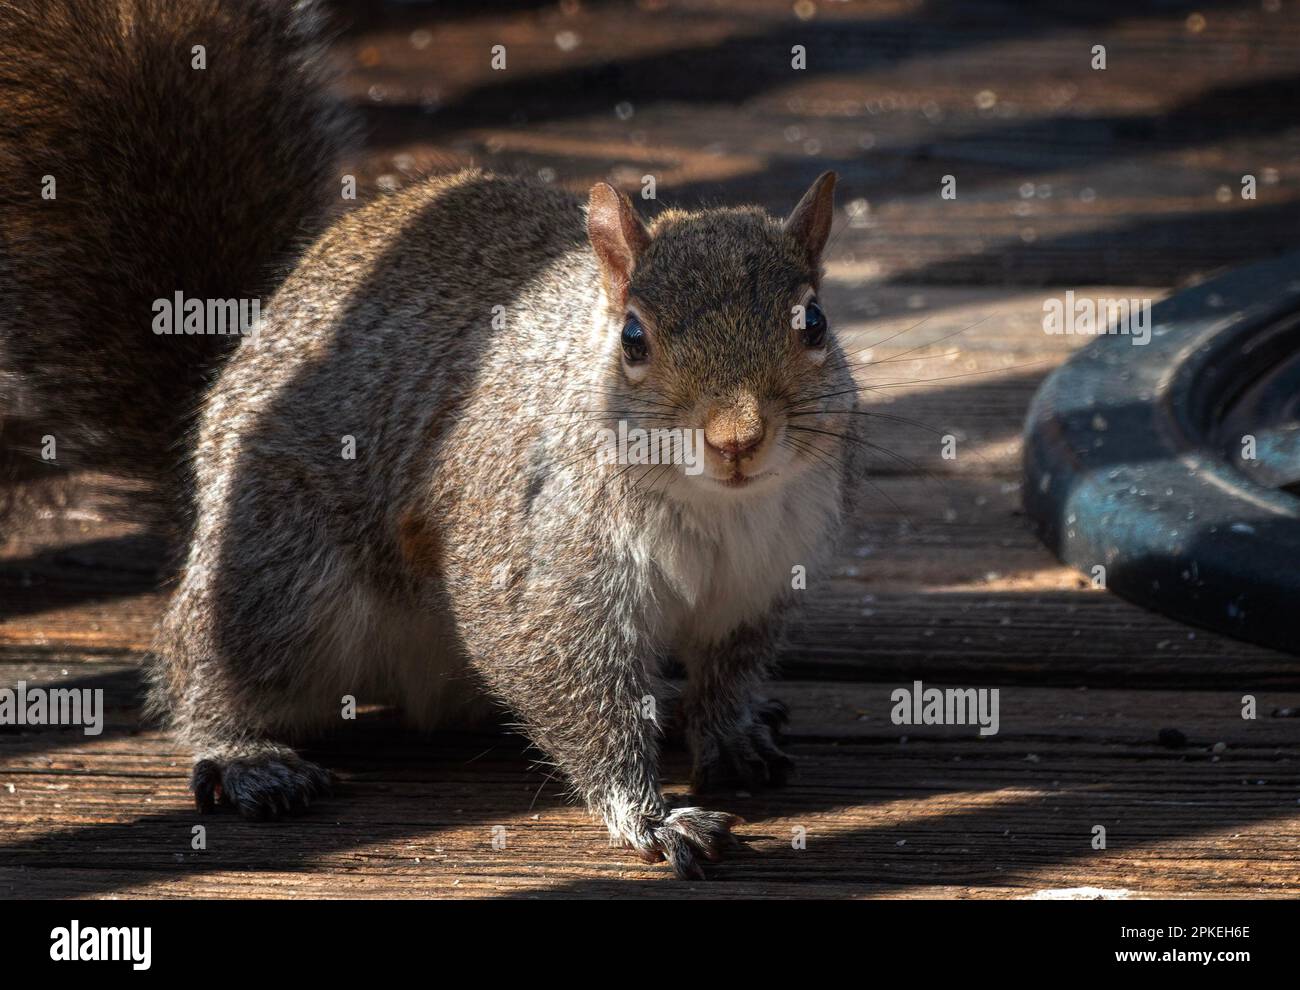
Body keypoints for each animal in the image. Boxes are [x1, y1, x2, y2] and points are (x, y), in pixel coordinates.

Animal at [1, 0, 864, 879]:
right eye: (633, 338)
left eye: (815, 323)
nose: (737, 438)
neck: (715, 507)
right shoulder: (537, 555)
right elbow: (569, 685)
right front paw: (646, 815)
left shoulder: (758, 580)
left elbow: (731, 671)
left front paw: (730, 731)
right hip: (278, 577)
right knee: (198, 665)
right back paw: (246, 755)